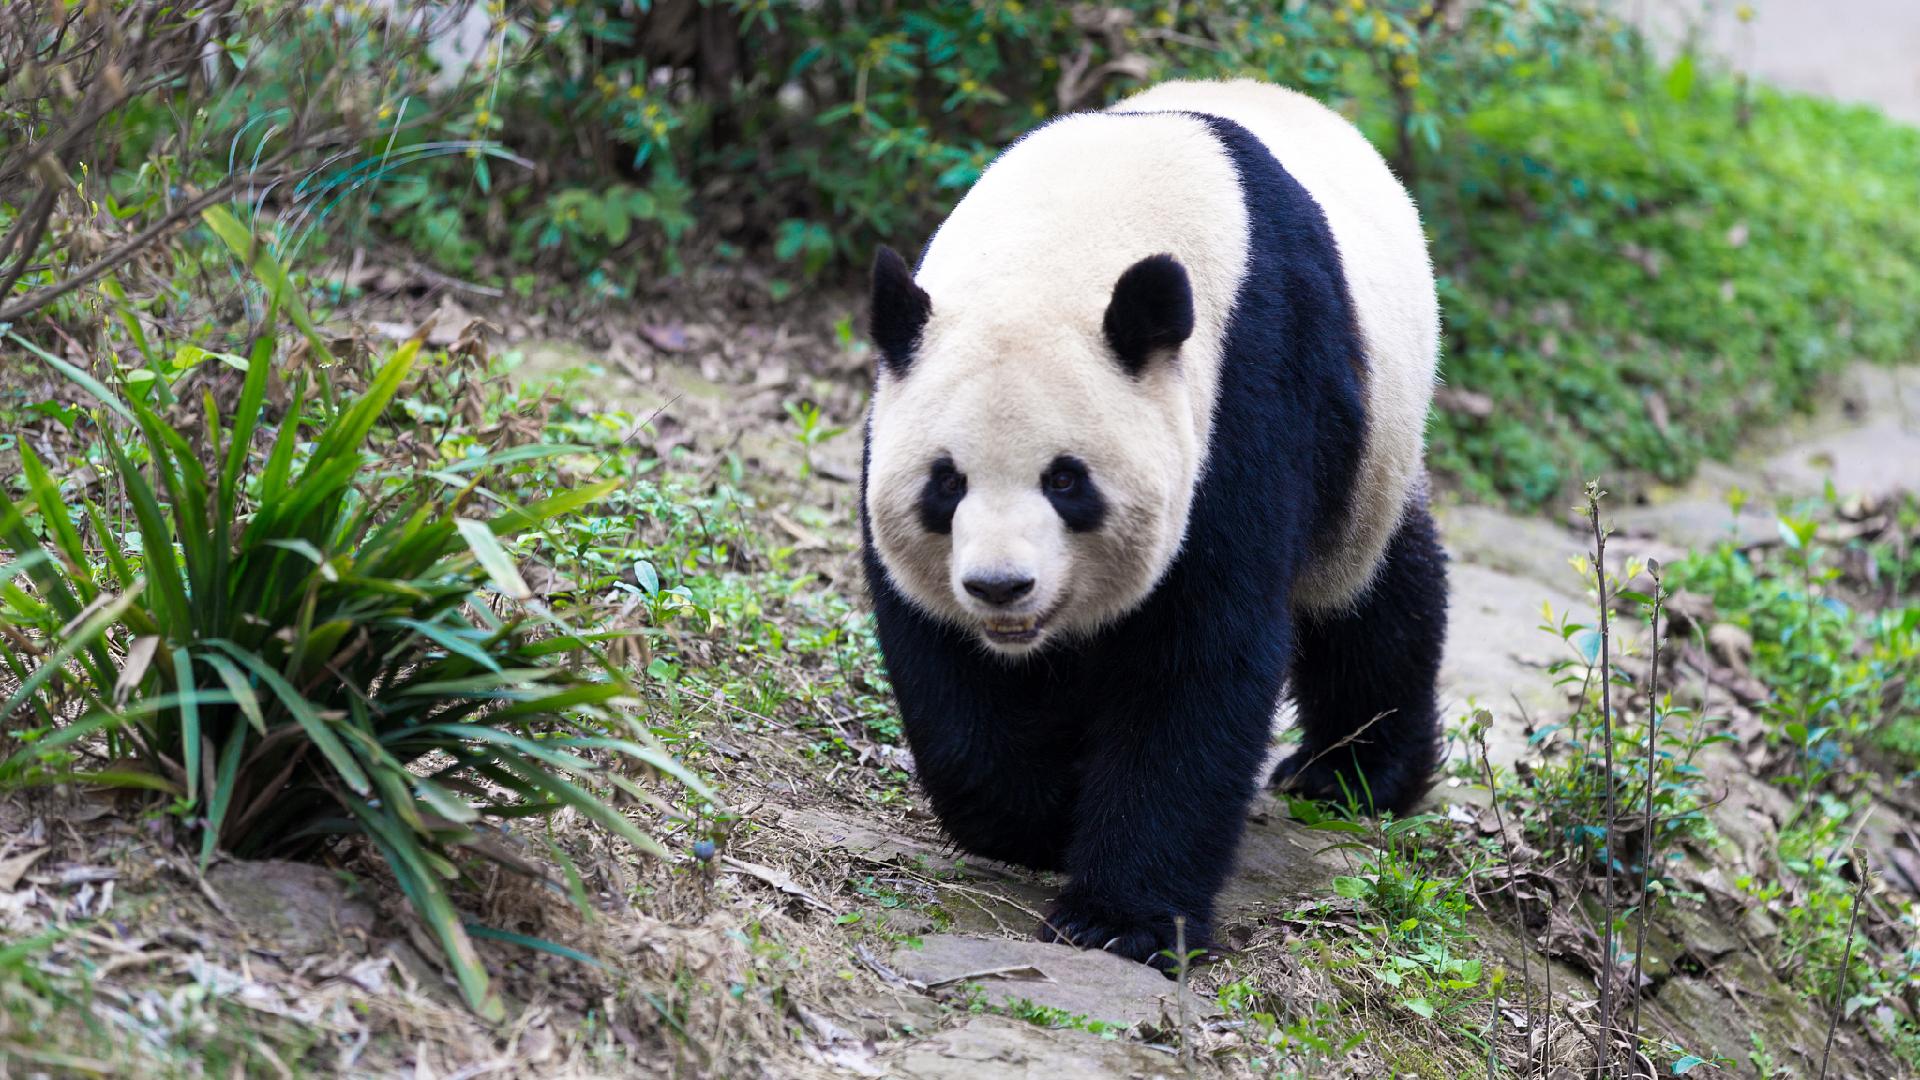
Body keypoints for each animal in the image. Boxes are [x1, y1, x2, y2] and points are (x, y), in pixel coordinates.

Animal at [860, 79, 1448, 965]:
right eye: (946, 484)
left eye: (1067, 481)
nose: (1001, 588)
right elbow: (943, 658)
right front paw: (1042, 815)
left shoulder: (1246, 392)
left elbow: (1198, 653)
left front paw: (1117, 919)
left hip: (1373, 446)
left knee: (1374, 597)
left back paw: (1349, 776)